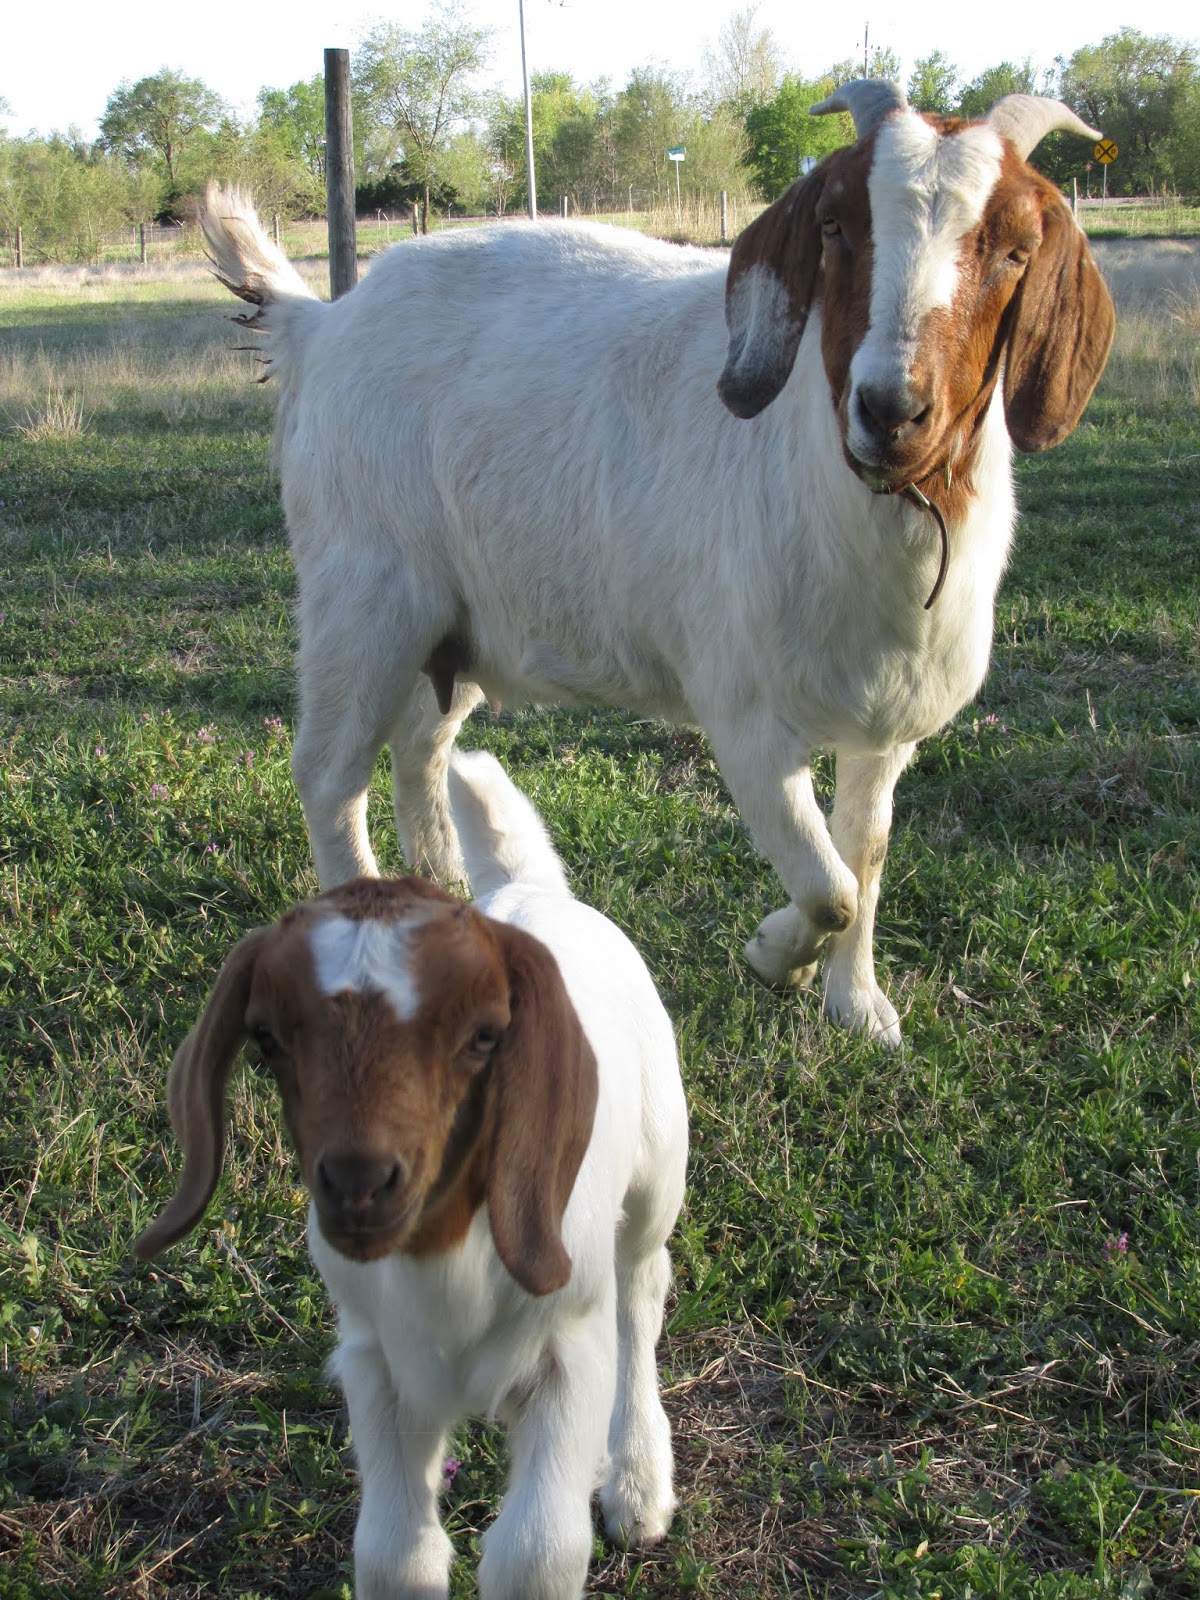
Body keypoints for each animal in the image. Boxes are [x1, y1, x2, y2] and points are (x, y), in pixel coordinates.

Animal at [134, 749, 689, 1600]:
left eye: (486, 1035)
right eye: (266, 1038)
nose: (359, 1183)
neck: (447, 1258)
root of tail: (528, 886)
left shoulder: (567, 1352)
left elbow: (537, 1552)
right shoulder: (379, 1367)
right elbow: (397, 1554)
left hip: (656, 1173)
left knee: (640, 1290)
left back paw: (638, 1481)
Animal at [201, 82, 1114, 1047]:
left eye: (1016, 248)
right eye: (834, 229)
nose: (891, 410)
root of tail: (321, 324)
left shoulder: (887, 726)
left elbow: (862, 859)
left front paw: (858, 1007)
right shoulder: (746, 717)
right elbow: (826, 886)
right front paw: (773, 955)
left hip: (456, 620)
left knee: (421, 745)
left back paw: (443, 893)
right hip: (362, 592)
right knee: (330, 775)